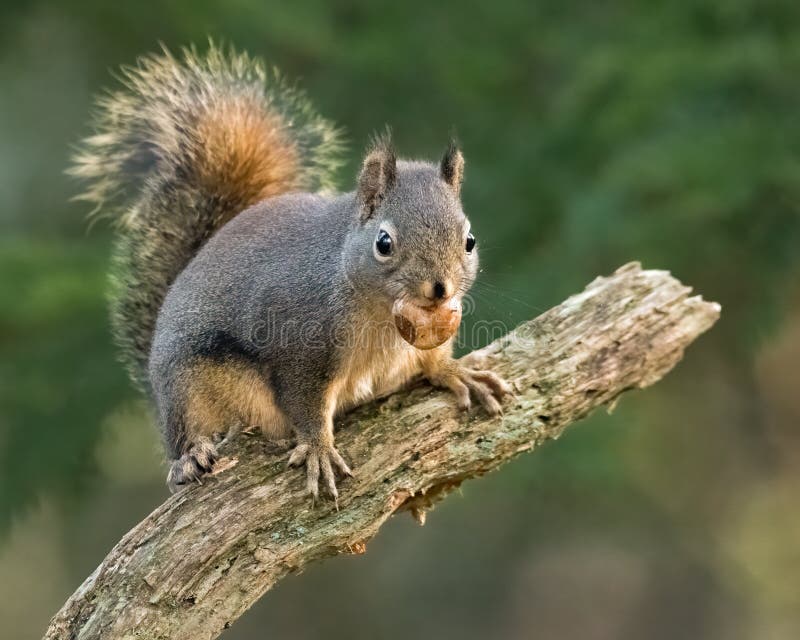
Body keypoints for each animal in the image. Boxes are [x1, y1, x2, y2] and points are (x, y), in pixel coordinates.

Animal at [71, 45, 512, 499]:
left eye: (469, 240)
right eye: (384, 243)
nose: (439, 289)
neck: (380, 312)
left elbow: (433, 358)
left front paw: (457, 372)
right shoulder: (300, 344)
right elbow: (305, 403)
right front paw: (319, 448)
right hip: (190, 384)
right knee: (186, 438)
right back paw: (189, 458)